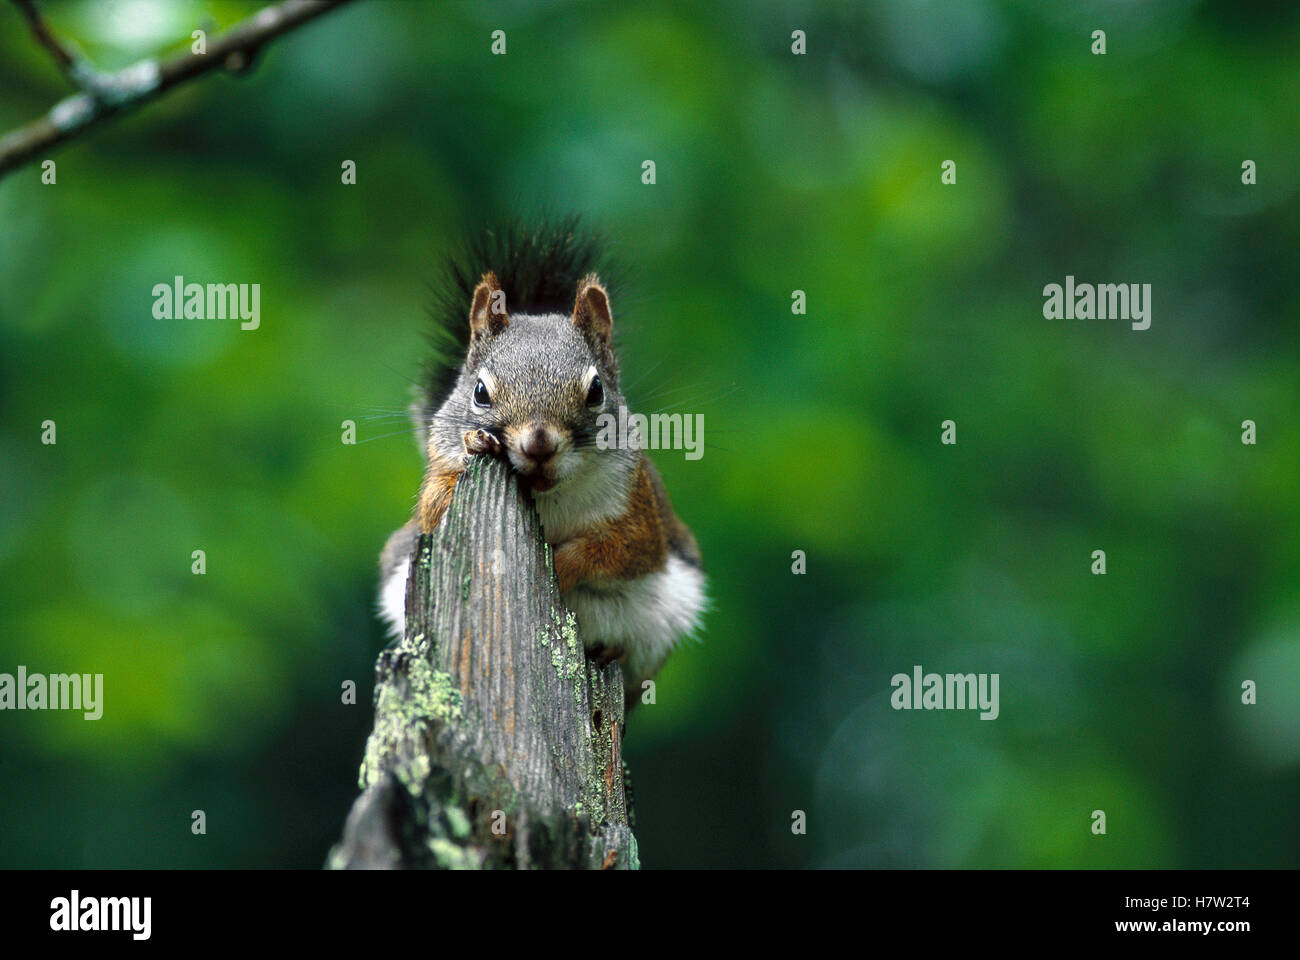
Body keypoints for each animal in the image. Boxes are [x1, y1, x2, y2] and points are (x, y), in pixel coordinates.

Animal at [378, 218, 705, 710]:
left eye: (596, 391)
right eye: (480, 392)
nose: (537, 444)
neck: (548, 497)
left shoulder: (638, 512)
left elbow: (617, 550)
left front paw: (559, 565)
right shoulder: (438, 486)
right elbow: (435, 510)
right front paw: (478, 443)